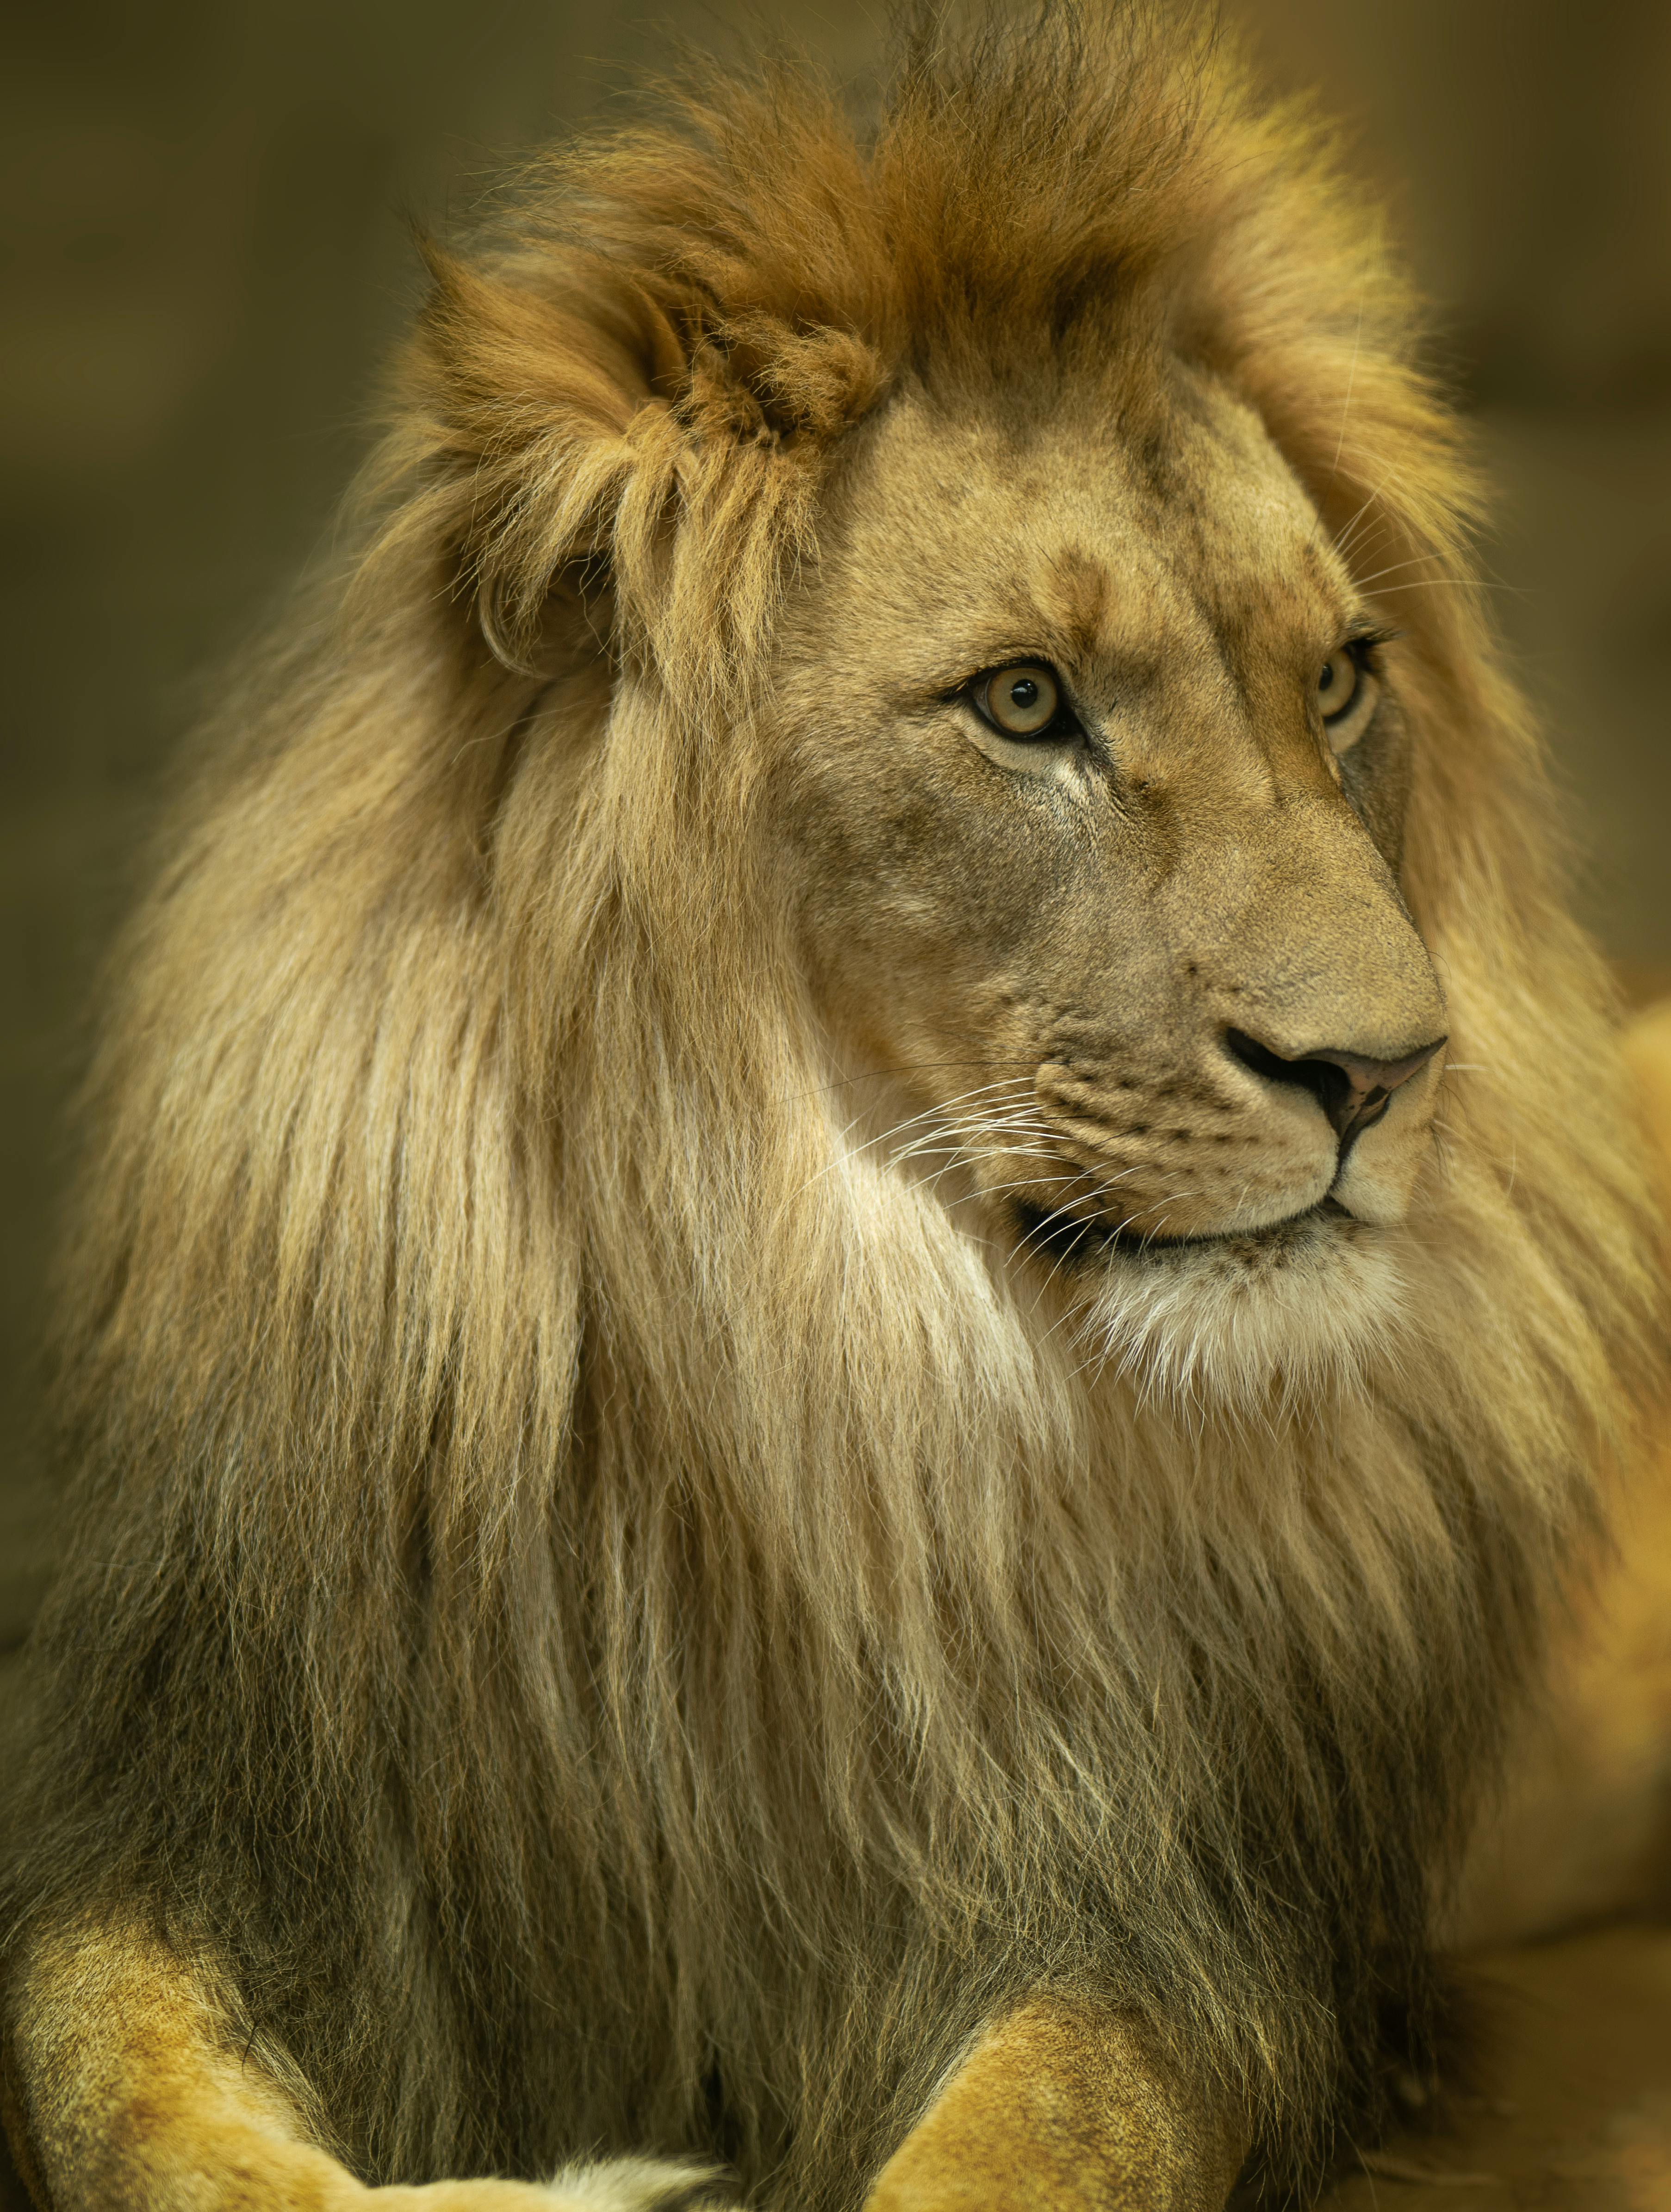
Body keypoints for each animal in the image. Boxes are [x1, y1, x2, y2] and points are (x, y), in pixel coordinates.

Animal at [3, 7, 1665, 2210]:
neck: (779, 1367)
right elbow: (99, 2078)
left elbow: (1030, 2146)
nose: (1385, 1071)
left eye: (1337, 681)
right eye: (1024, 702)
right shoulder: (216, 1802)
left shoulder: (1181, 1921)